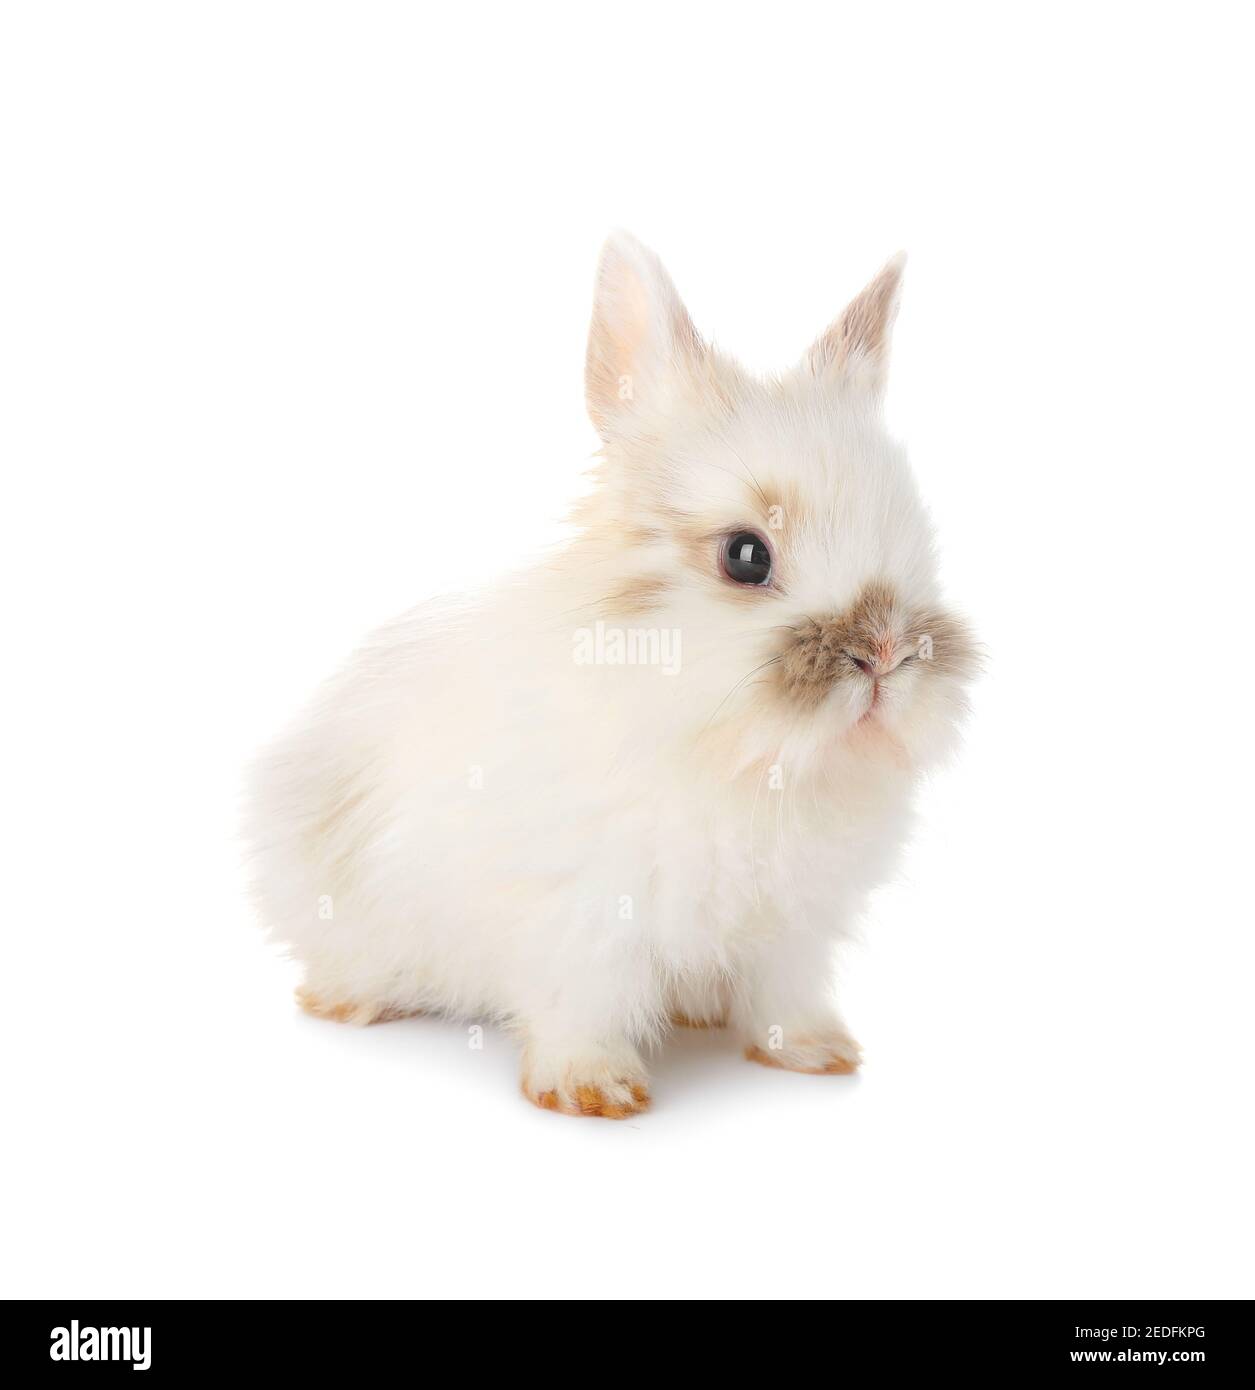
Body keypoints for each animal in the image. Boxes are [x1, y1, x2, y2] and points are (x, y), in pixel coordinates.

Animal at [243, 231, 977, 1118]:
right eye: (745, 556)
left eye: (916, 536)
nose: (886, 653)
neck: (742, 761)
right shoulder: (581, 919)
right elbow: (580, 1004)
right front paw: (592, 1091)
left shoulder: (792, 933)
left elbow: (784, 997)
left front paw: (816, 1054)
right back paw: (350, 1000)